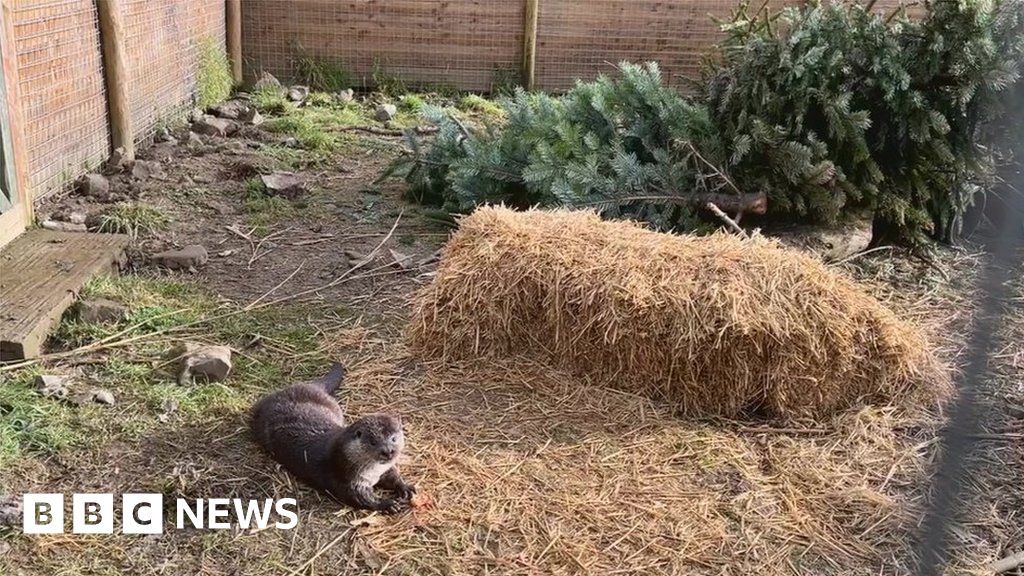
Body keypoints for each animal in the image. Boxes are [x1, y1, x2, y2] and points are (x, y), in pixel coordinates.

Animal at [250, 363, 415, 513]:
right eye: (373, 442)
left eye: (393, 438)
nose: (388, 451)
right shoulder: (346, 479)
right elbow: (360, 498)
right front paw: (387, 504)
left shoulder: (383, 469)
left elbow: (392, 474)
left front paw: (404, 486)